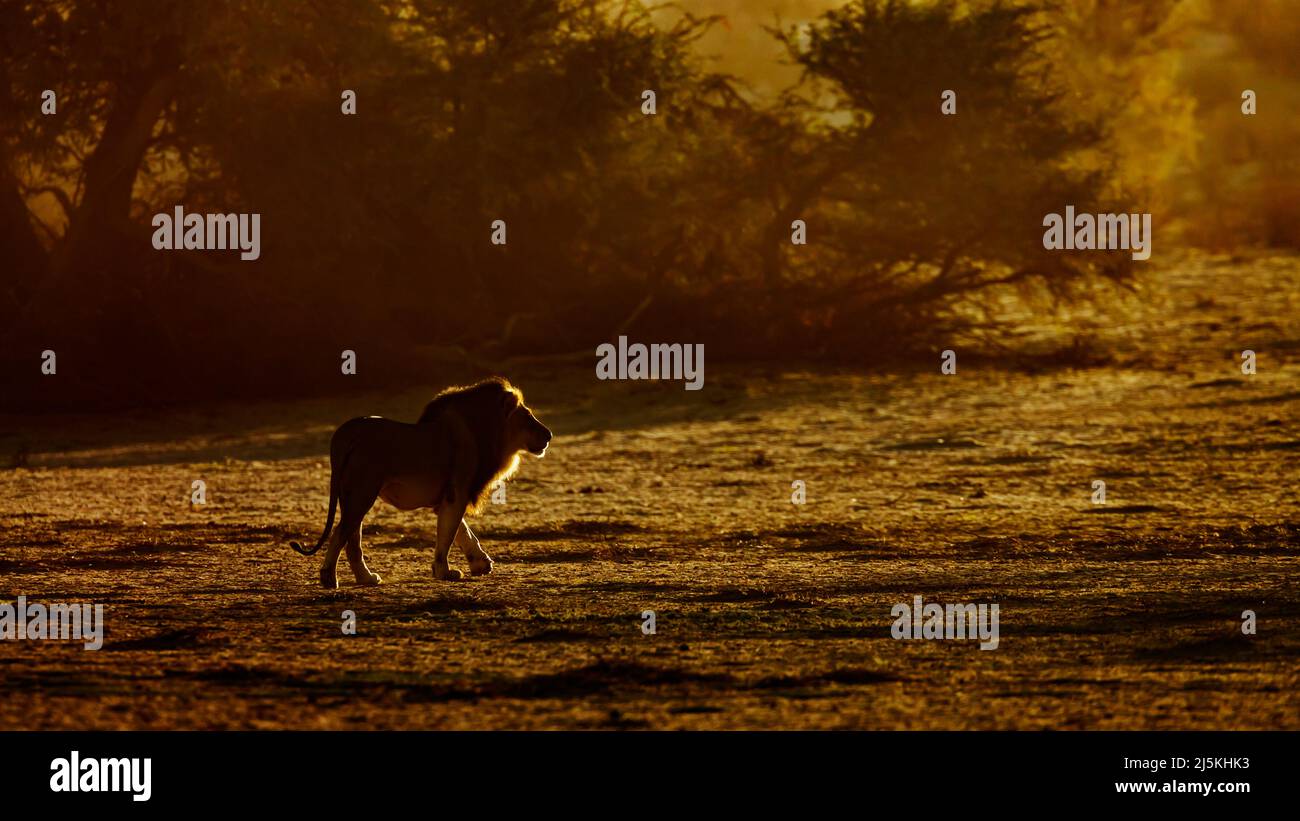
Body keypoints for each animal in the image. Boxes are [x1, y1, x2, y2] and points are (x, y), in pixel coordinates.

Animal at [289, 377, 551, 587]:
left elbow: (463, 532)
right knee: (340, 533)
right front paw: (445, 572)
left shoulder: (447, 498)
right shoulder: (456, 494)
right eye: (528, 416)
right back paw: (328, 579)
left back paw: (366, 579)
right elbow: (448, 535)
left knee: (352, 541)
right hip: (362, 493)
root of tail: (345, 434)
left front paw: (480, 564)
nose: (549, 435)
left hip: (351, 495)